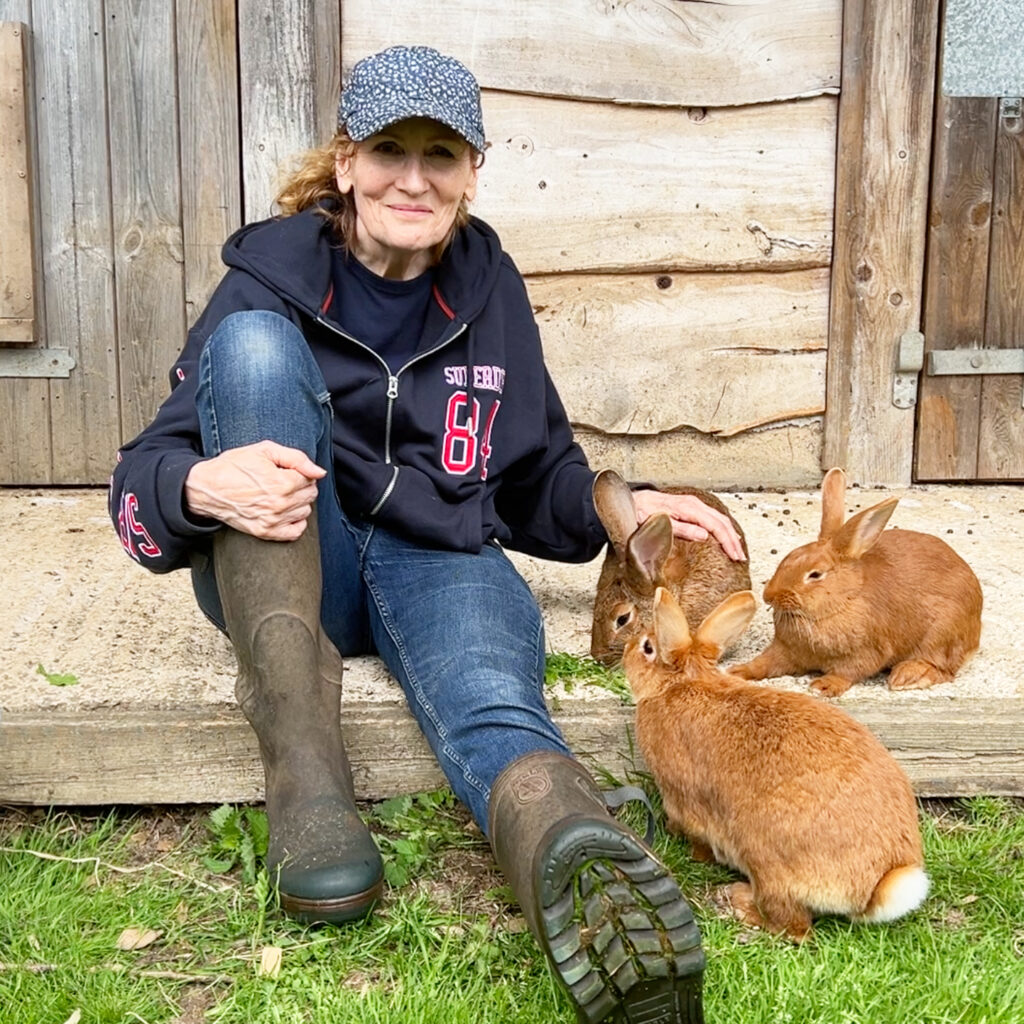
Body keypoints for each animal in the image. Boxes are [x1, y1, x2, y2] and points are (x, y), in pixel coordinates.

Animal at [622, 579, 929, 942]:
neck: (682, 682)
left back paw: (740, 903)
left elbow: (696, 835)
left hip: (765, 863)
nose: (625, 650)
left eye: (647, 647)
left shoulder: (681, 798)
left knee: (794, 927)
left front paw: (690, 849)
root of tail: (874, 886)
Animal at [731, 467, 983, 697]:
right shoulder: (785, 650)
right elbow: (764, 663)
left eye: (815, 575)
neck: (844, 598)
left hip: (942, 634)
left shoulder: (866, 652)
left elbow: (849, 672)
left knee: (943, 668)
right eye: (788, 557)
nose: (769, 596)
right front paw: (737, 672)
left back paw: (907, 676)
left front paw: (823, 686)